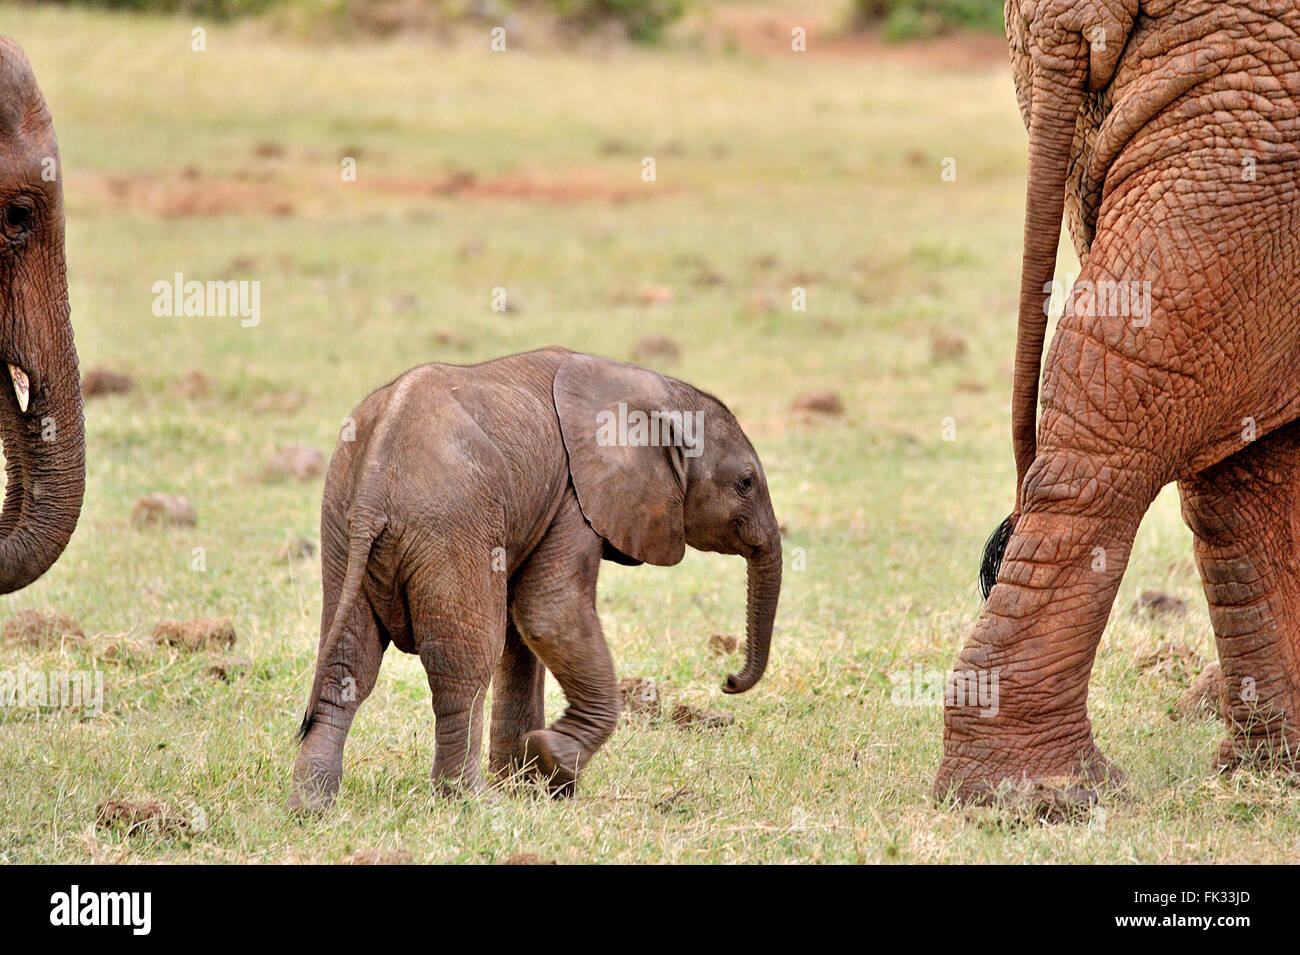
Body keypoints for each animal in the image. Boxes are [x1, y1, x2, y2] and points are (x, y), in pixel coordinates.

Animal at [289, 347, 782, 810]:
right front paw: (550, 762)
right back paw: (471, 803)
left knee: (346, 667)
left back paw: (311, 810)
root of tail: (374, 478)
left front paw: (527, 784)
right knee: (463, 667)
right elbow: (548, 613)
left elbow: (523, 631)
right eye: (745, 483)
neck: (653, 387)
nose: (728, 681)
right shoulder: (574, 498)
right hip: (450, 521)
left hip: (342, 527)